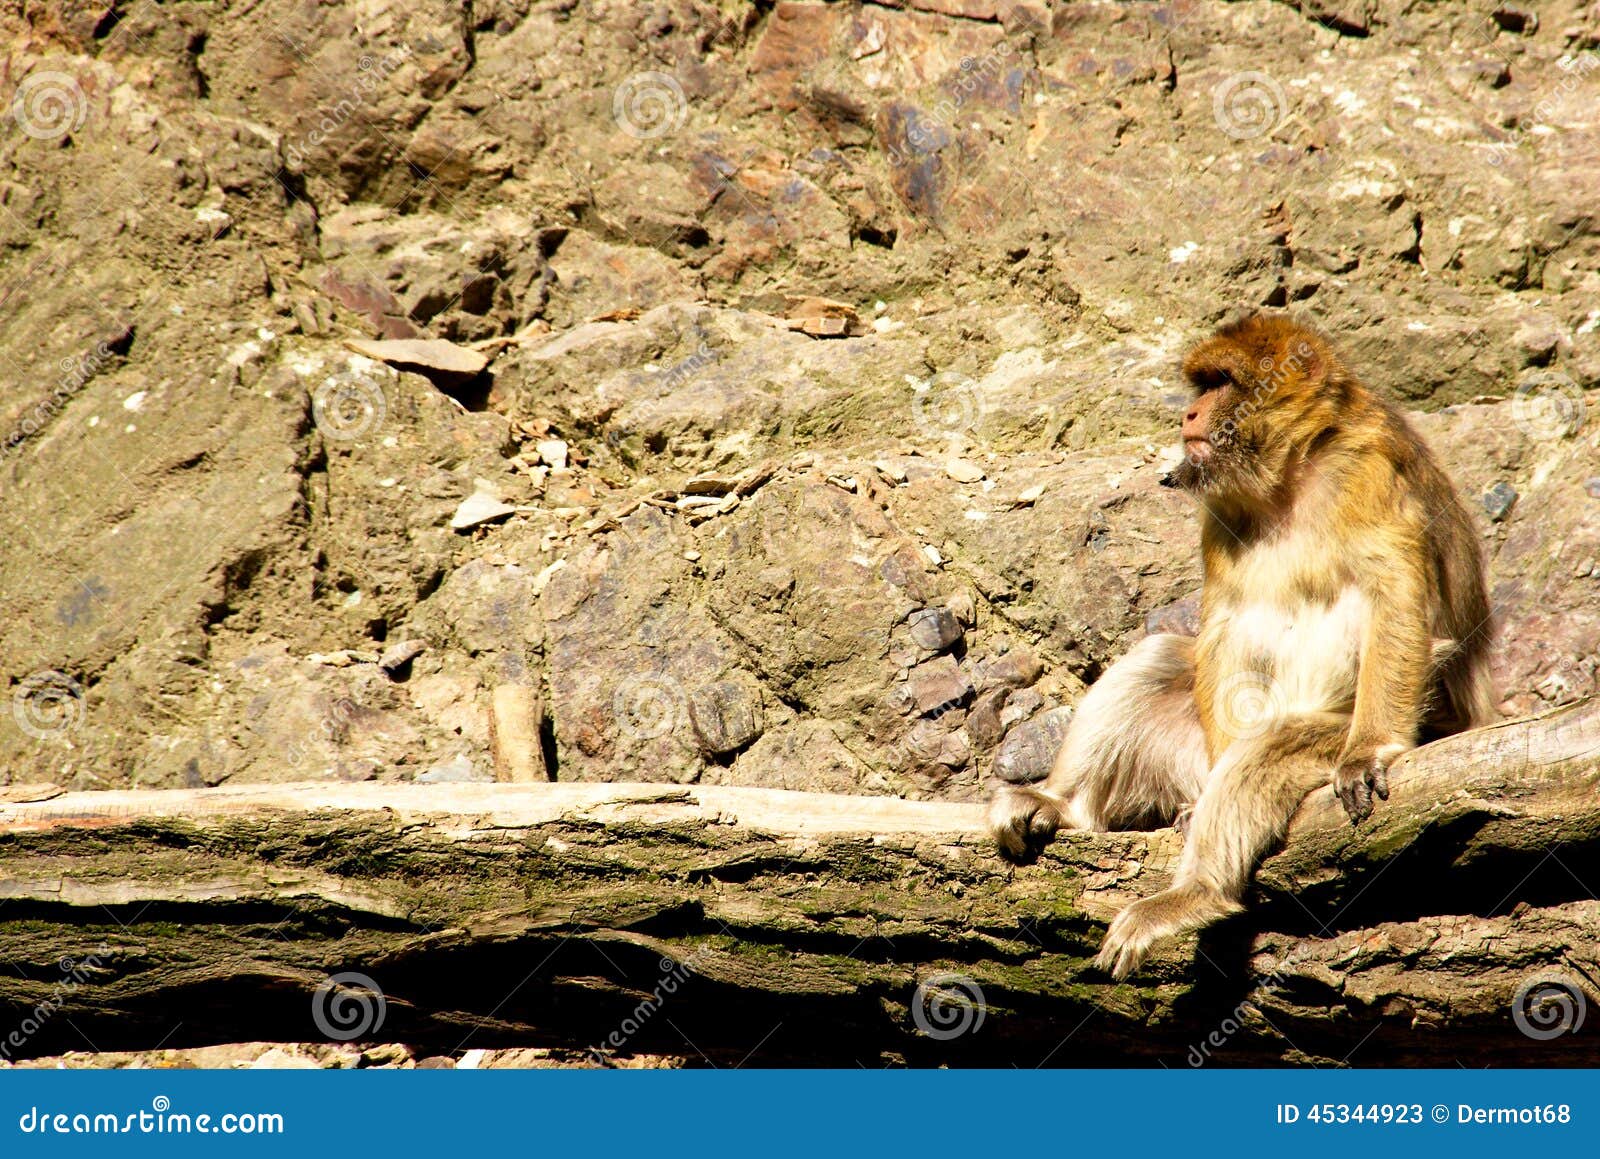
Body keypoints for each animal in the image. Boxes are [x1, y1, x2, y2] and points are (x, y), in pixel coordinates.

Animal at [990, 312, 1495, 979]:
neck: (1292, 479)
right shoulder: (1221, 507)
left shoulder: (1369, 472)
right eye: (1201, 385)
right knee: (1160, 664)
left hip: (1386, 726)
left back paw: (1198, 891)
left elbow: (1394, 601)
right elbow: (1224, 624)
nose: (1188, 415)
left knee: (1273, 744)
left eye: (1220, 383)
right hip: (1186, 757)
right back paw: (1062, 804)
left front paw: (1368, 753)